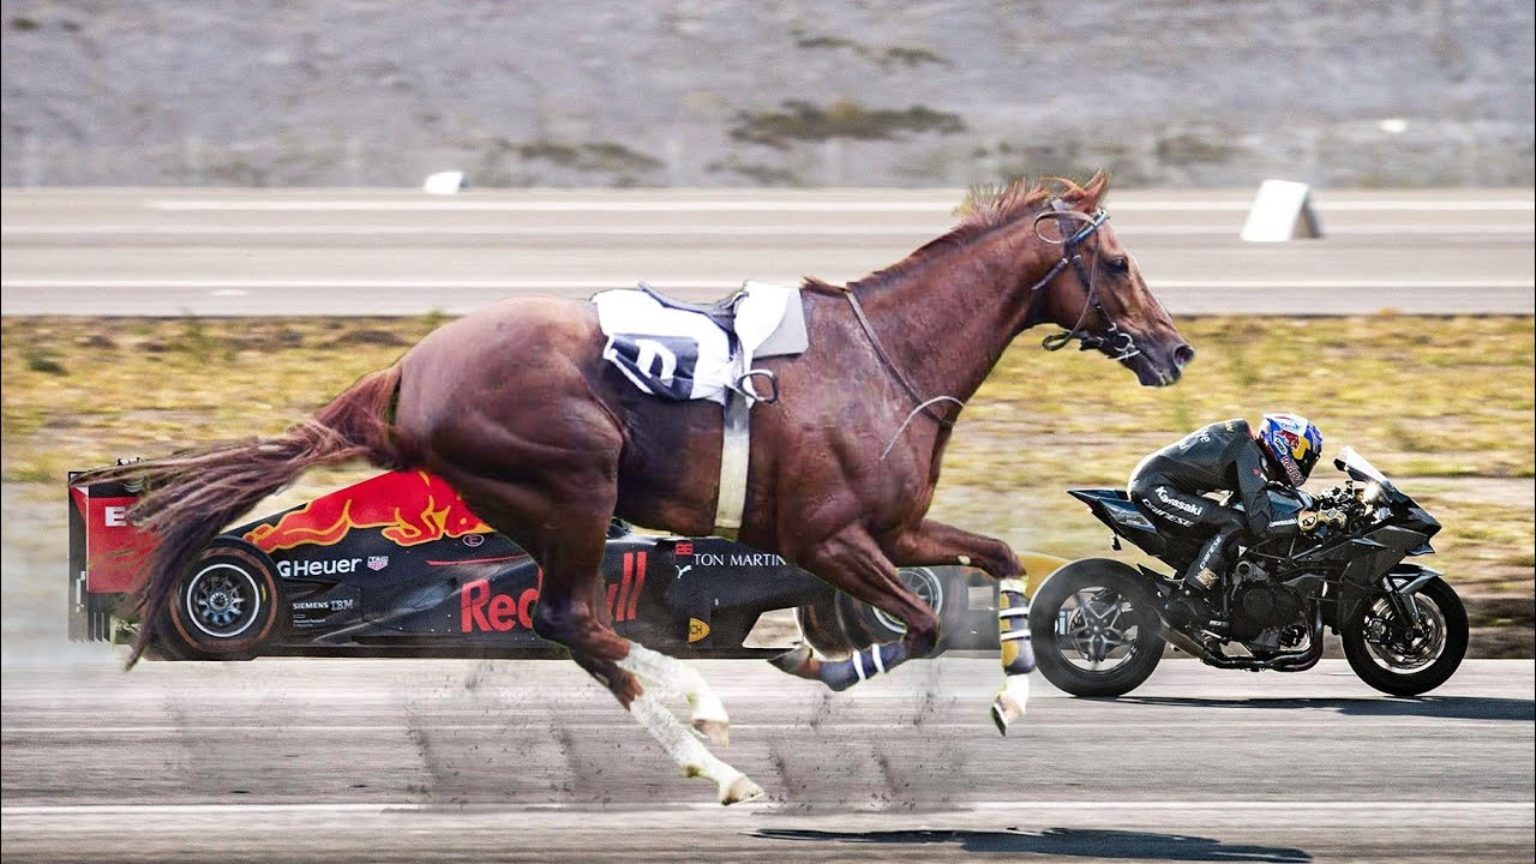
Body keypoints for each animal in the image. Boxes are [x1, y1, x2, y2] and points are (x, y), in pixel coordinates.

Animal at [92, 172, 1192, 805]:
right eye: (1118, 260)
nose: (1175, 348)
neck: (884, 358)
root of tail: (409, 370)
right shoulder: (826, 538)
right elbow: (914, 628)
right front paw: (810, 667)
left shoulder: (895, 527)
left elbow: (997, 558)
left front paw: (1011, 691)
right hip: (574, 487)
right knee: (571, 620)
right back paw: (710, 735)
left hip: (535, 508)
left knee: (572, 626)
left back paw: (707, 737)